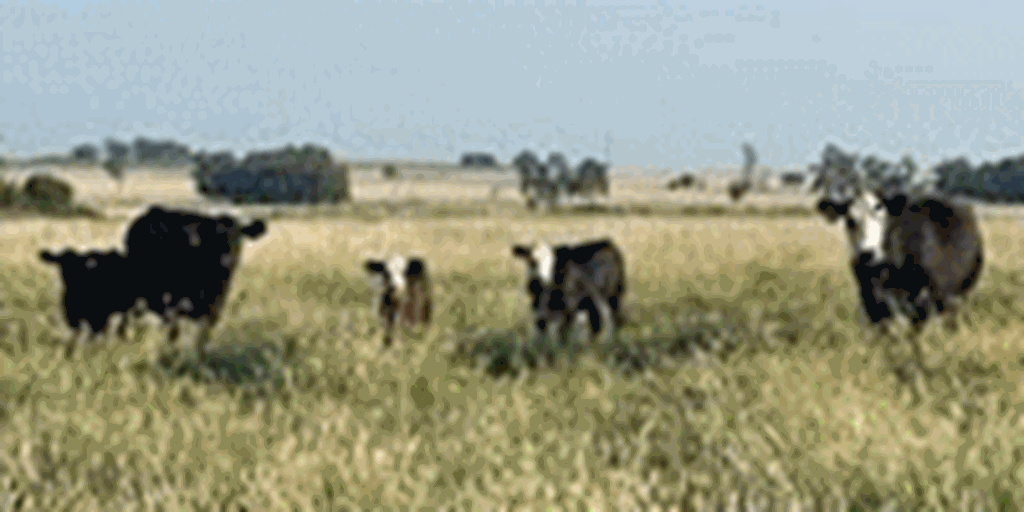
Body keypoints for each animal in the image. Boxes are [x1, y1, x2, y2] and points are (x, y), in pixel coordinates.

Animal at [122, 206, 268, 359]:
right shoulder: (173, 306)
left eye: (238, 236)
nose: (228, 259)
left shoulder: (214, 310)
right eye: (214, 238)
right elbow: (173, 335)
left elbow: (202, 341)